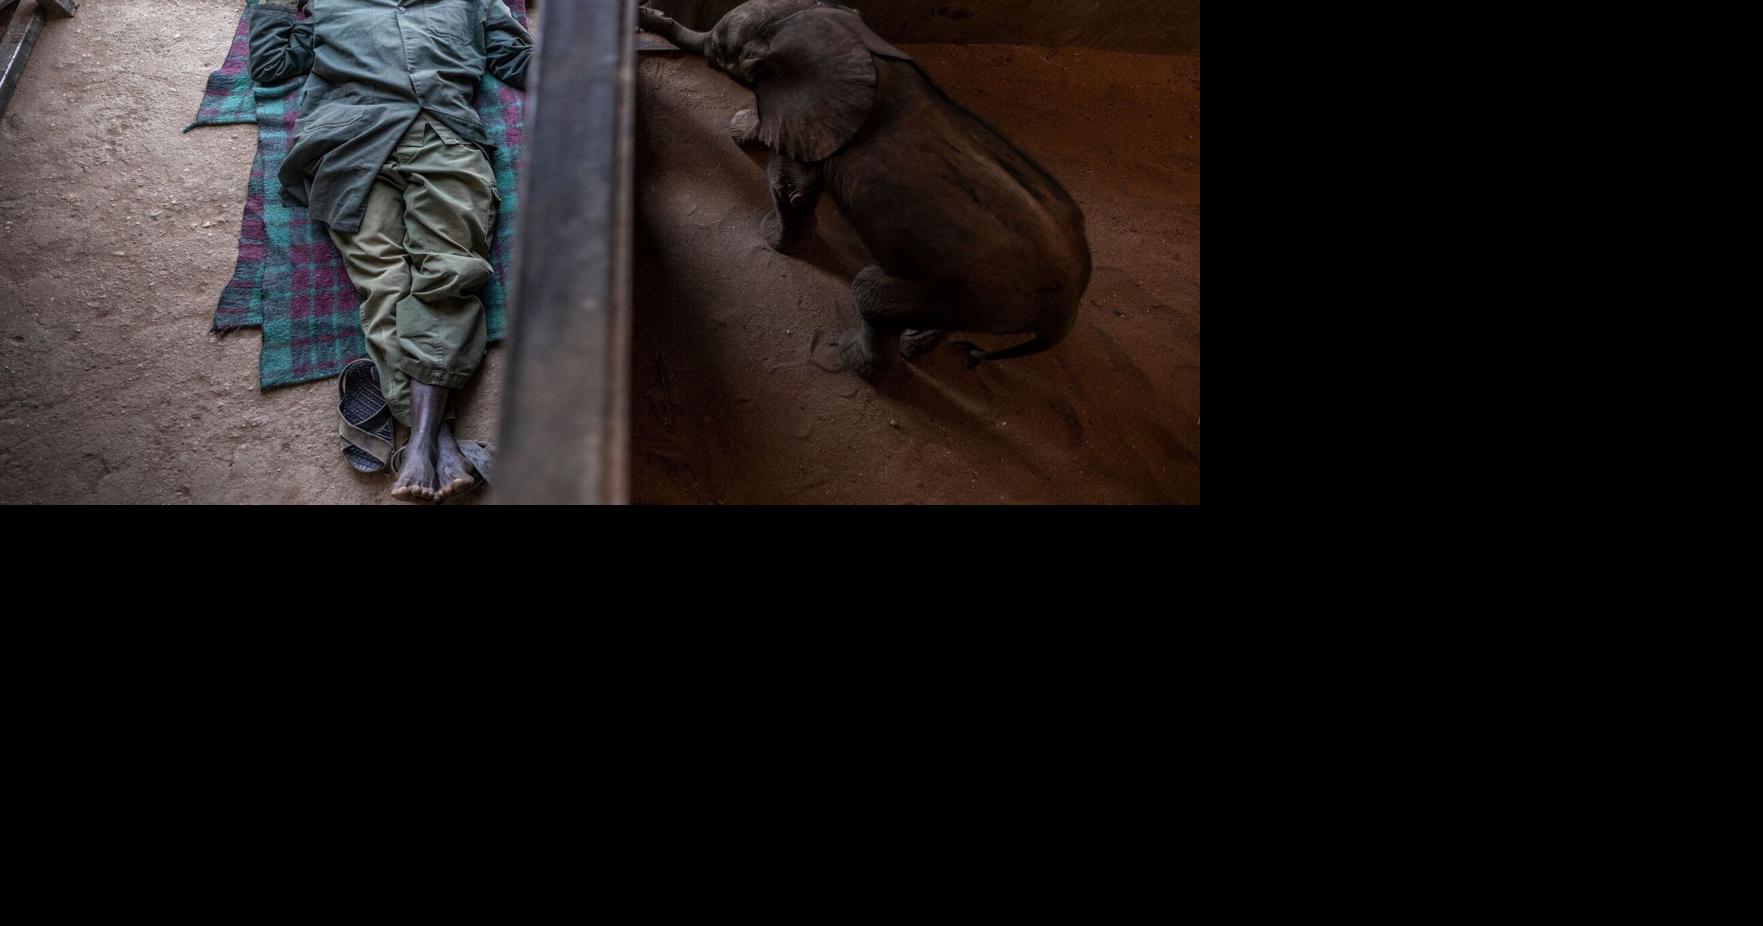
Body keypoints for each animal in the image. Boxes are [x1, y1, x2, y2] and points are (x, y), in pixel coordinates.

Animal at [637, 0, 1091, 378]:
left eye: (719, 49)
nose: (647, 11)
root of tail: (1067, 312)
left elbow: (792, 183)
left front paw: (776, 242)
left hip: (962, 284)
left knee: (871, 294)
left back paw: (853, 359)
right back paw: (915, 346)